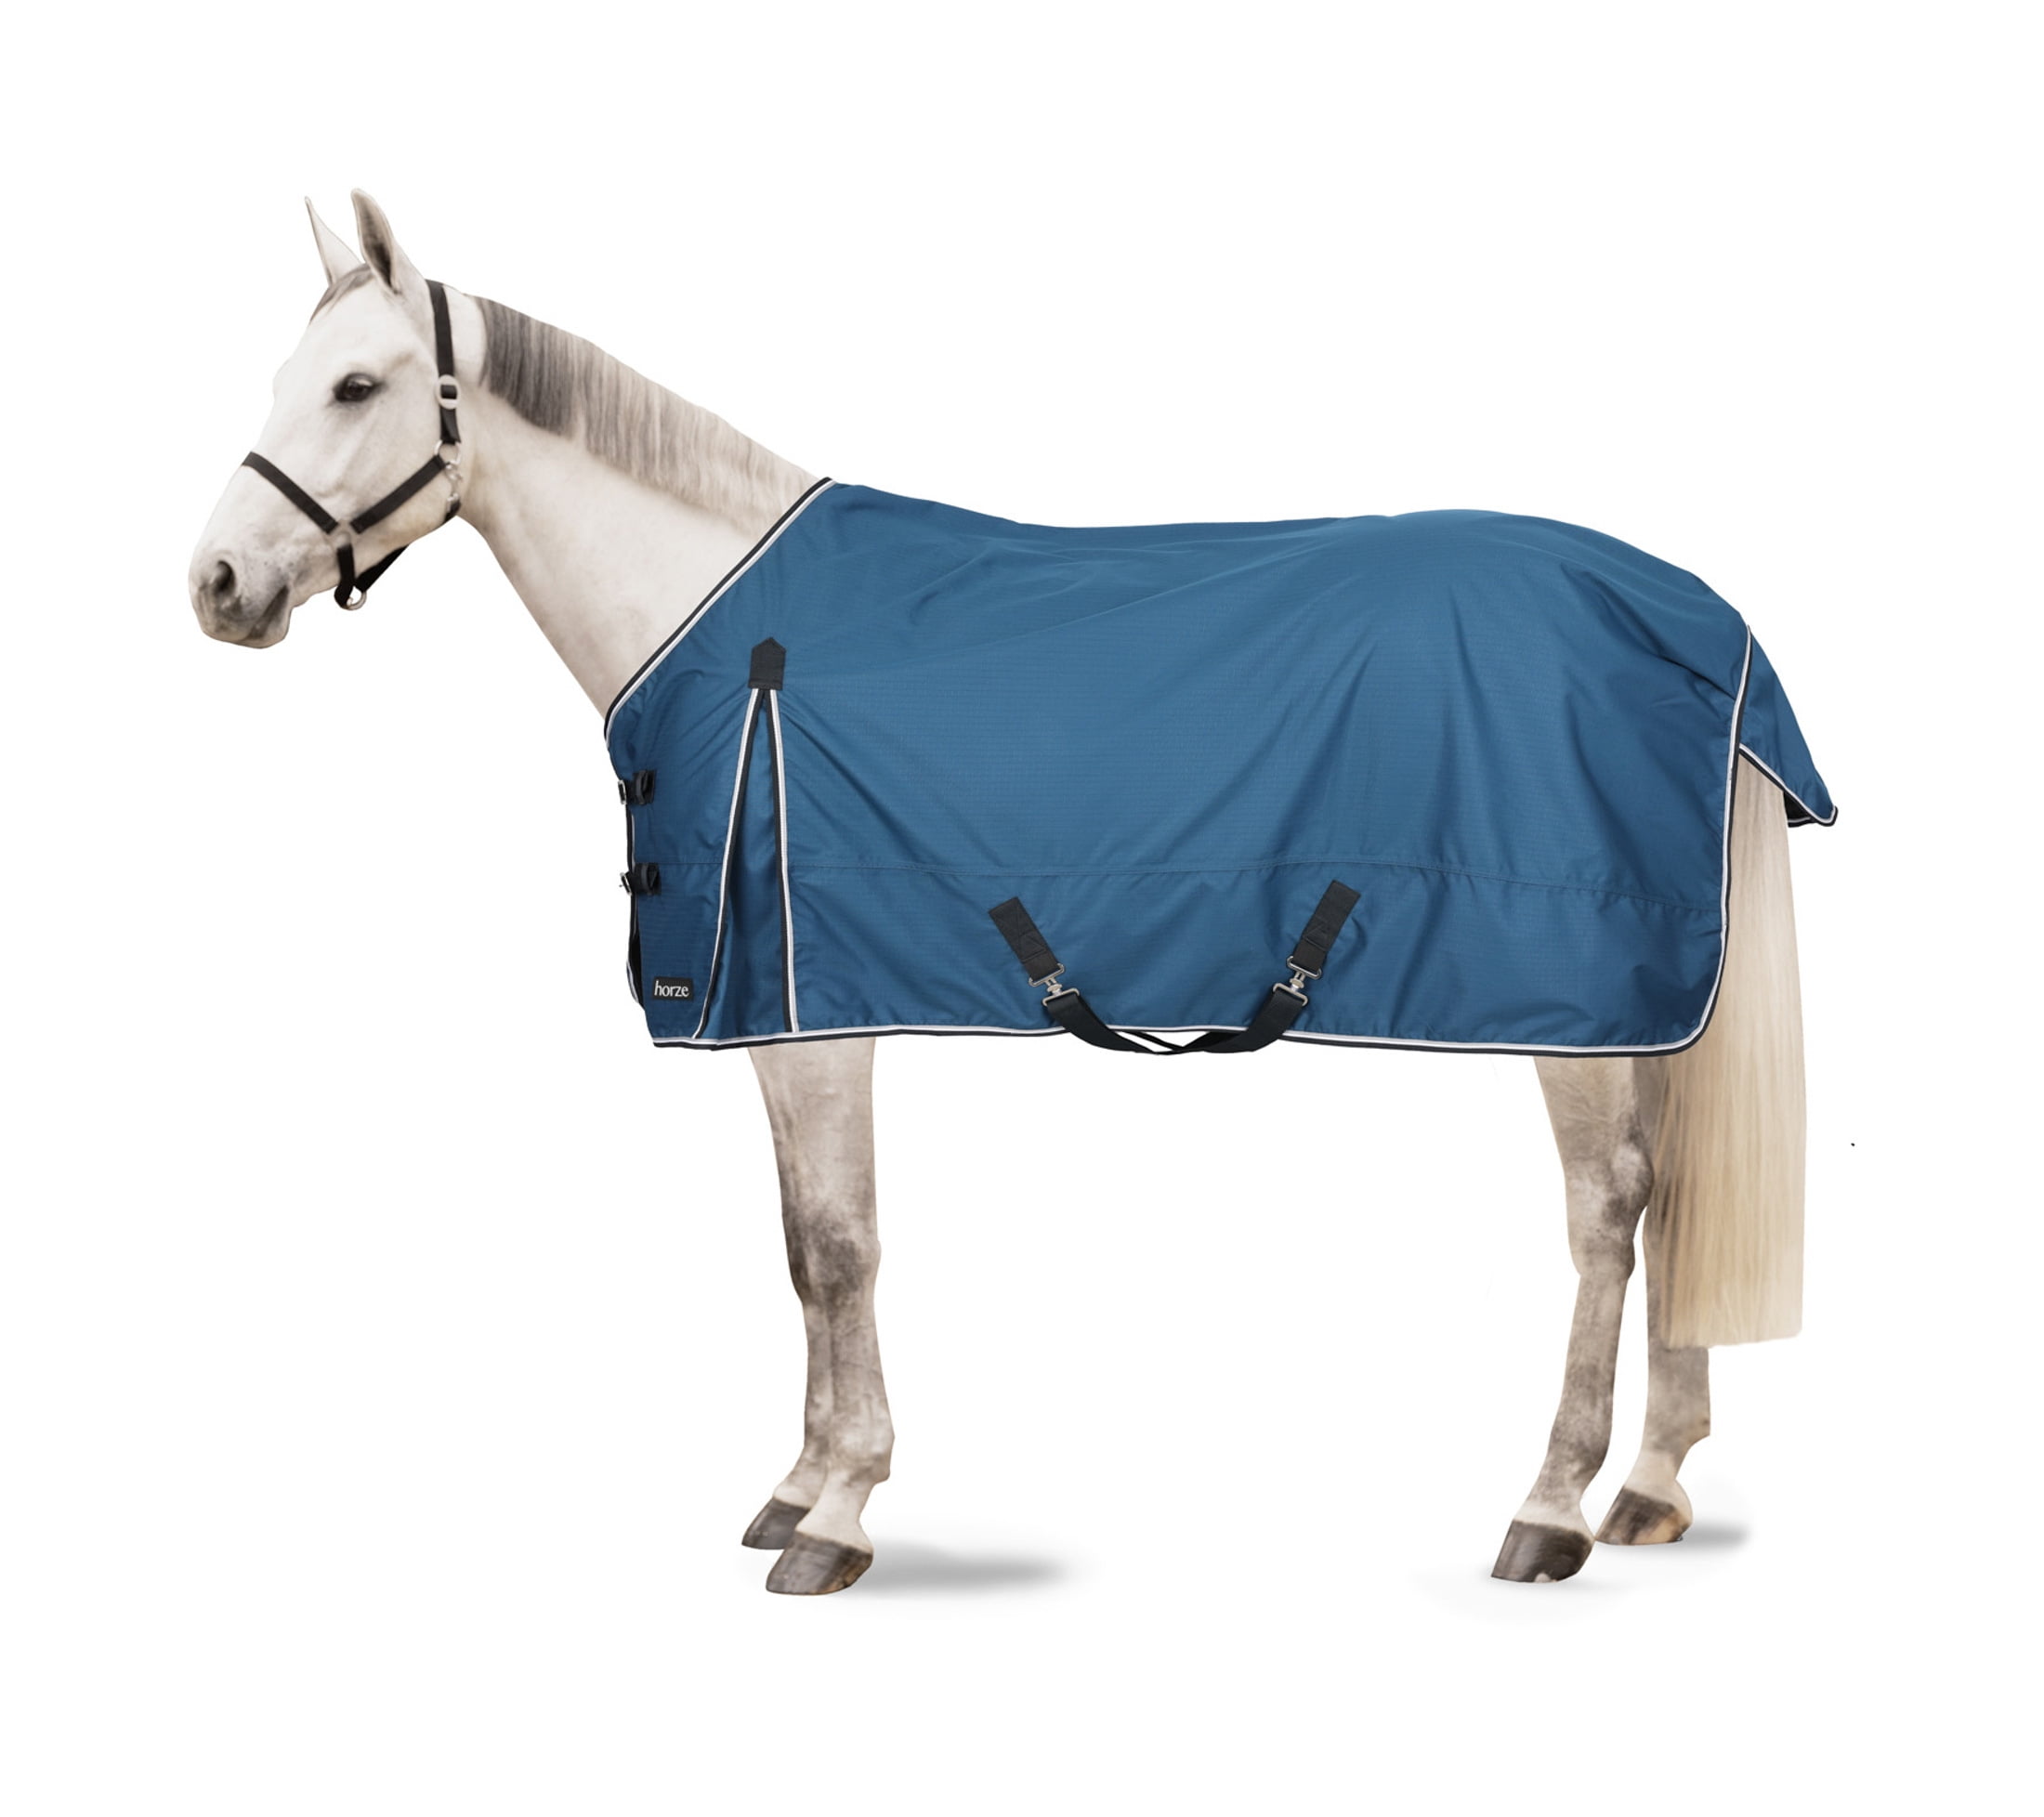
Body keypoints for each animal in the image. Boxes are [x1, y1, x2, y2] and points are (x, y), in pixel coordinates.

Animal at [188, 192, 1826, 1595]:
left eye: (356, 386)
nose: (216, 586)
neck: (732, 633)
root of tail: (1697, 617)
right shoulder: (774, 1023)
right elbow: (798, 1249)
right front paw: (795, 1487)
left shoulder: (817, 1010)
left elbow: (840, 1244)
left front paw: (838, 1512)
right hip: (1648, 1005)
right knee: (1672, 1192)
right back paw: (1650, 1487)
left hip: (1576, 1003)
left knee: (1608, 1212)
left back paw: (1550, 1507)